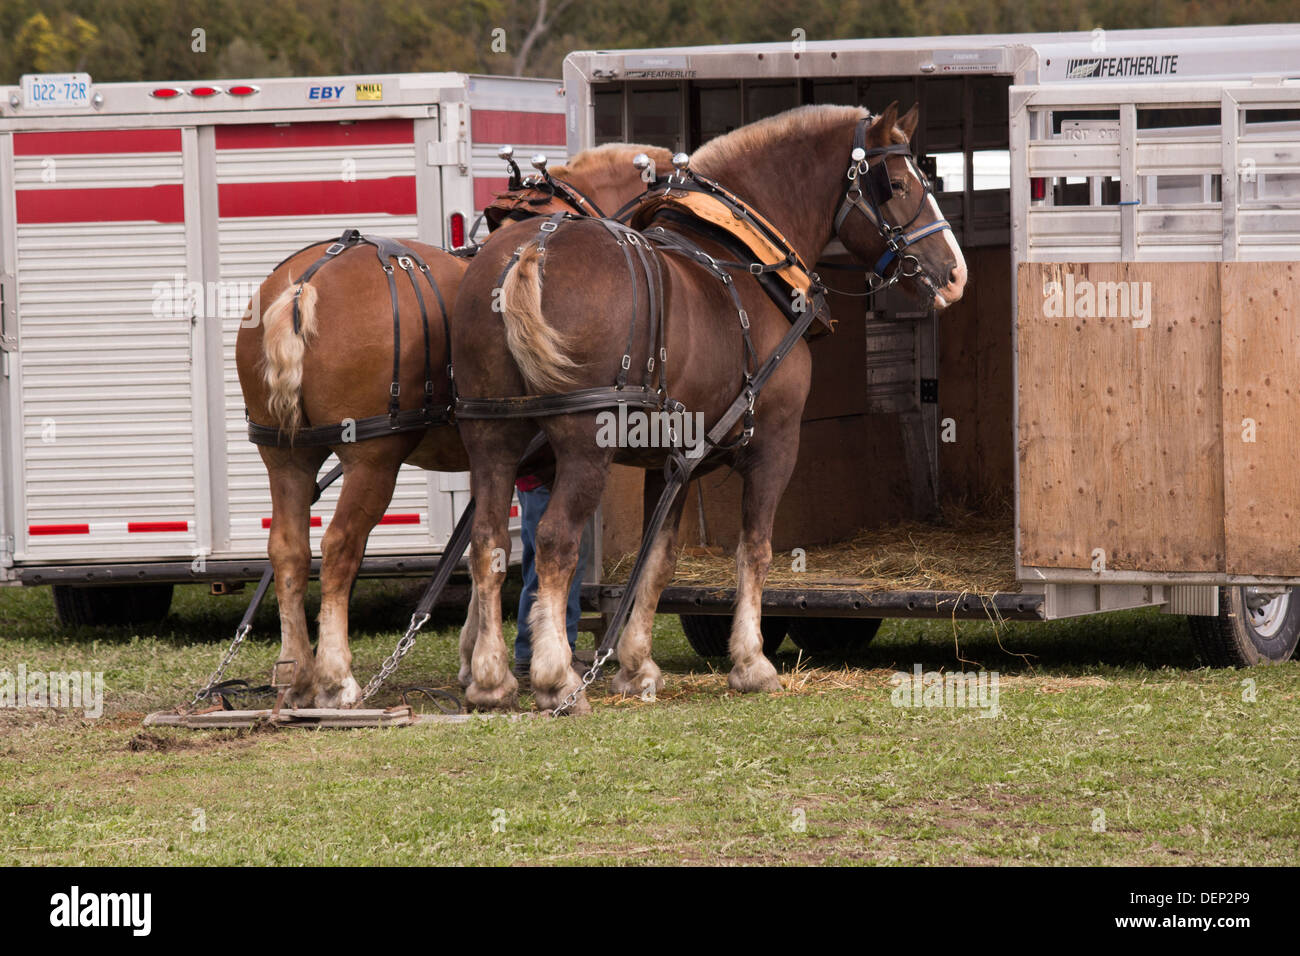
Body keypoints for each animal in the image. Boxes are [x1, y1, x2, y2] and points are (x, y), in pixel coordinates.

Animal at [235, 143, 672, 709]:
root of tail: (304, 283)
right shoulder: (545, 461)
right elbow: (531, 549)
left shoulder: (492, 456)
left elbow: (480, 545)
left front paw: (477, 660)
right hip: (371, 460)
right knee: (338, 549)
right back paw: (337, 678)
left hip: (285, 456)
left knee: (288, 553)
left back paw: (297, 676)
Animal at [449, 103, 967, 713]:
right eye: (902, 186)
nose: (955, 273)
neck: (745, 260)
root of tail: (532, 249)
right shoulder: (775, 443)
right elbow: (755, 550)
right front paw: (751, 662)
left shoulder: (673, 458)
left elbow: (658, 558)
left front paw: (637, 667)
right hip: (582, 447)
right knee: (554, 542)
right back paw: (557, 678)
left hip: (491, 437)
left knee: (488, 543)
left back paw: (490, 677)